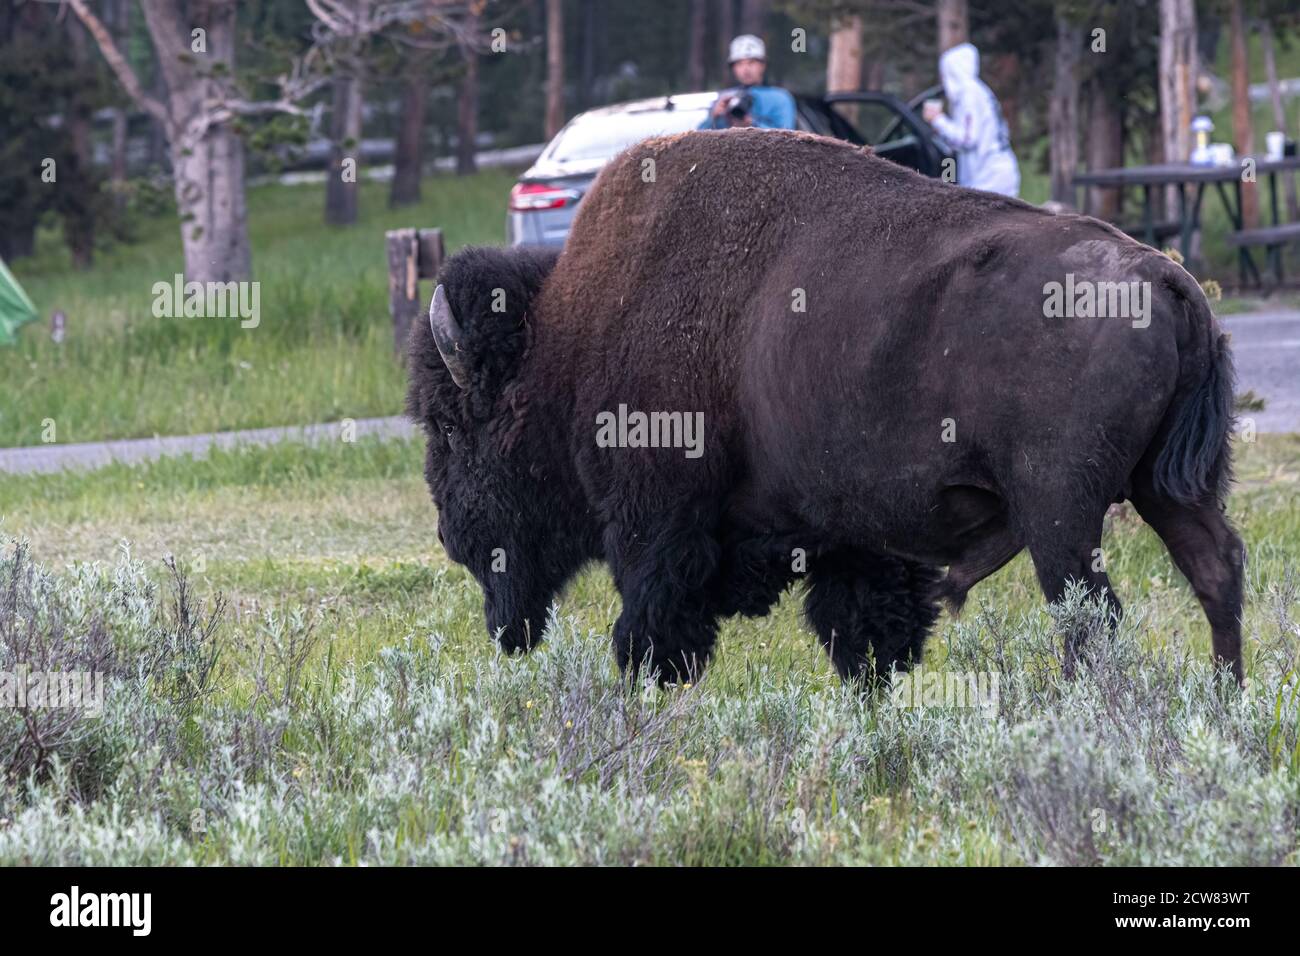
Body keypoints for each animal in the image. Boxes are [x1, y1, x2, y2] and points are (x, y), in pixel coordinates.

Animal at [407, 129, 1243, 686]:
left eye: (449, 425)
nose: (448, 535)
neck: (570, 338)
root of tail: (1167, 277)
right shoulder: (853, 541)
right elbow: (863, 638)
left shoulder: (657, 525)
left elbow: (651, 632)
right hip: (1168, 488)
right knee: (1215, 572)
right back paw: (1224, 701)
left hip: (1060, 510)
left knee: (1091, 617)